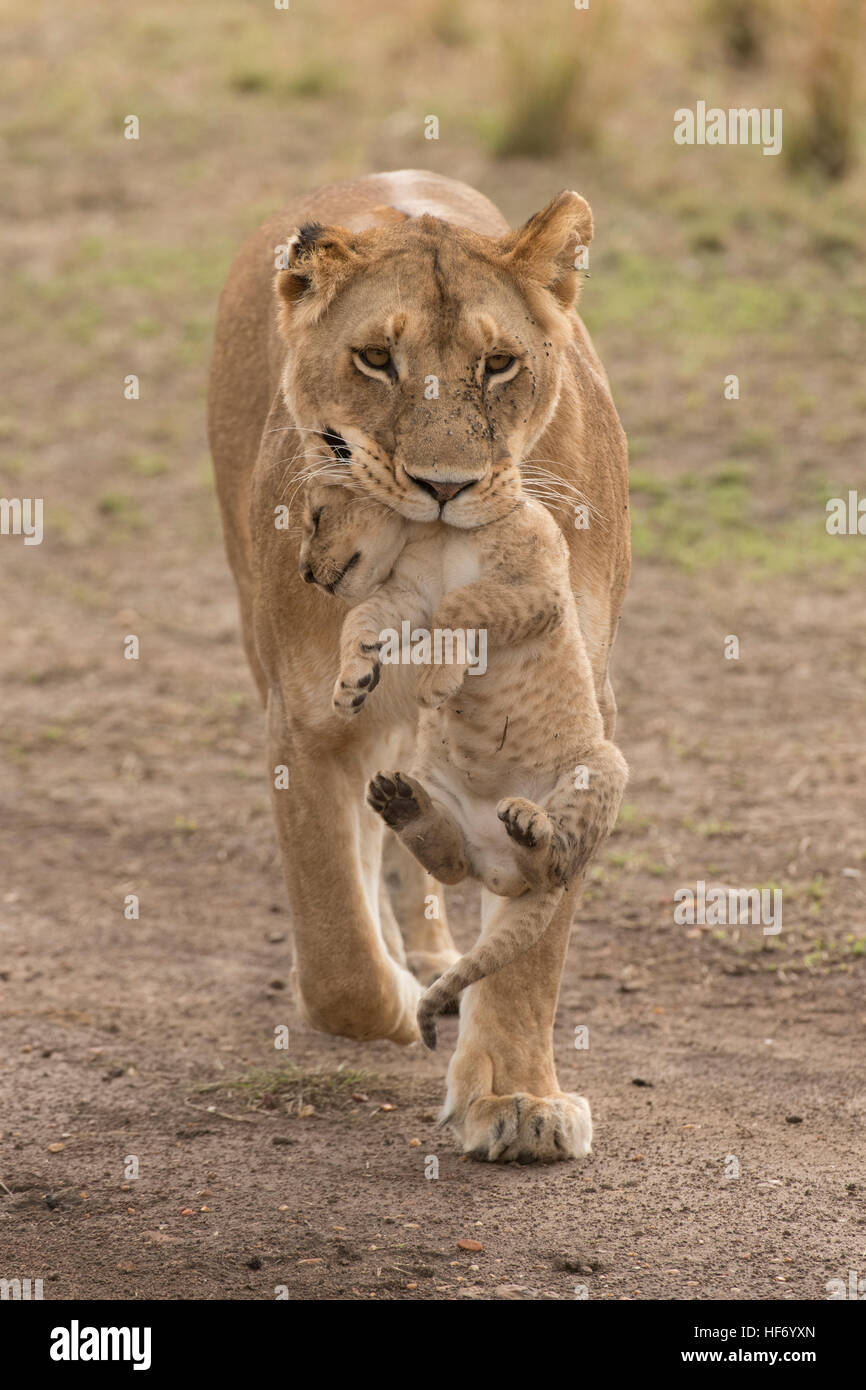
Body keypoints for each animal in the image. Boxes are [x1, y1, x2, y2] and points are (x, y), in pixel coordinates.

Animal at [208, 170, 630, 1162]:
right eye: (374, 359)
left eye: (500, 364)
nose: (446, 486)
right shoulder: (307, 723)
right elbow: (339, 962)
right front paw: (401, 1001)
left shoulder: (581, 706)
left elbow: (533, 949)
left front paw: (517, 1102)